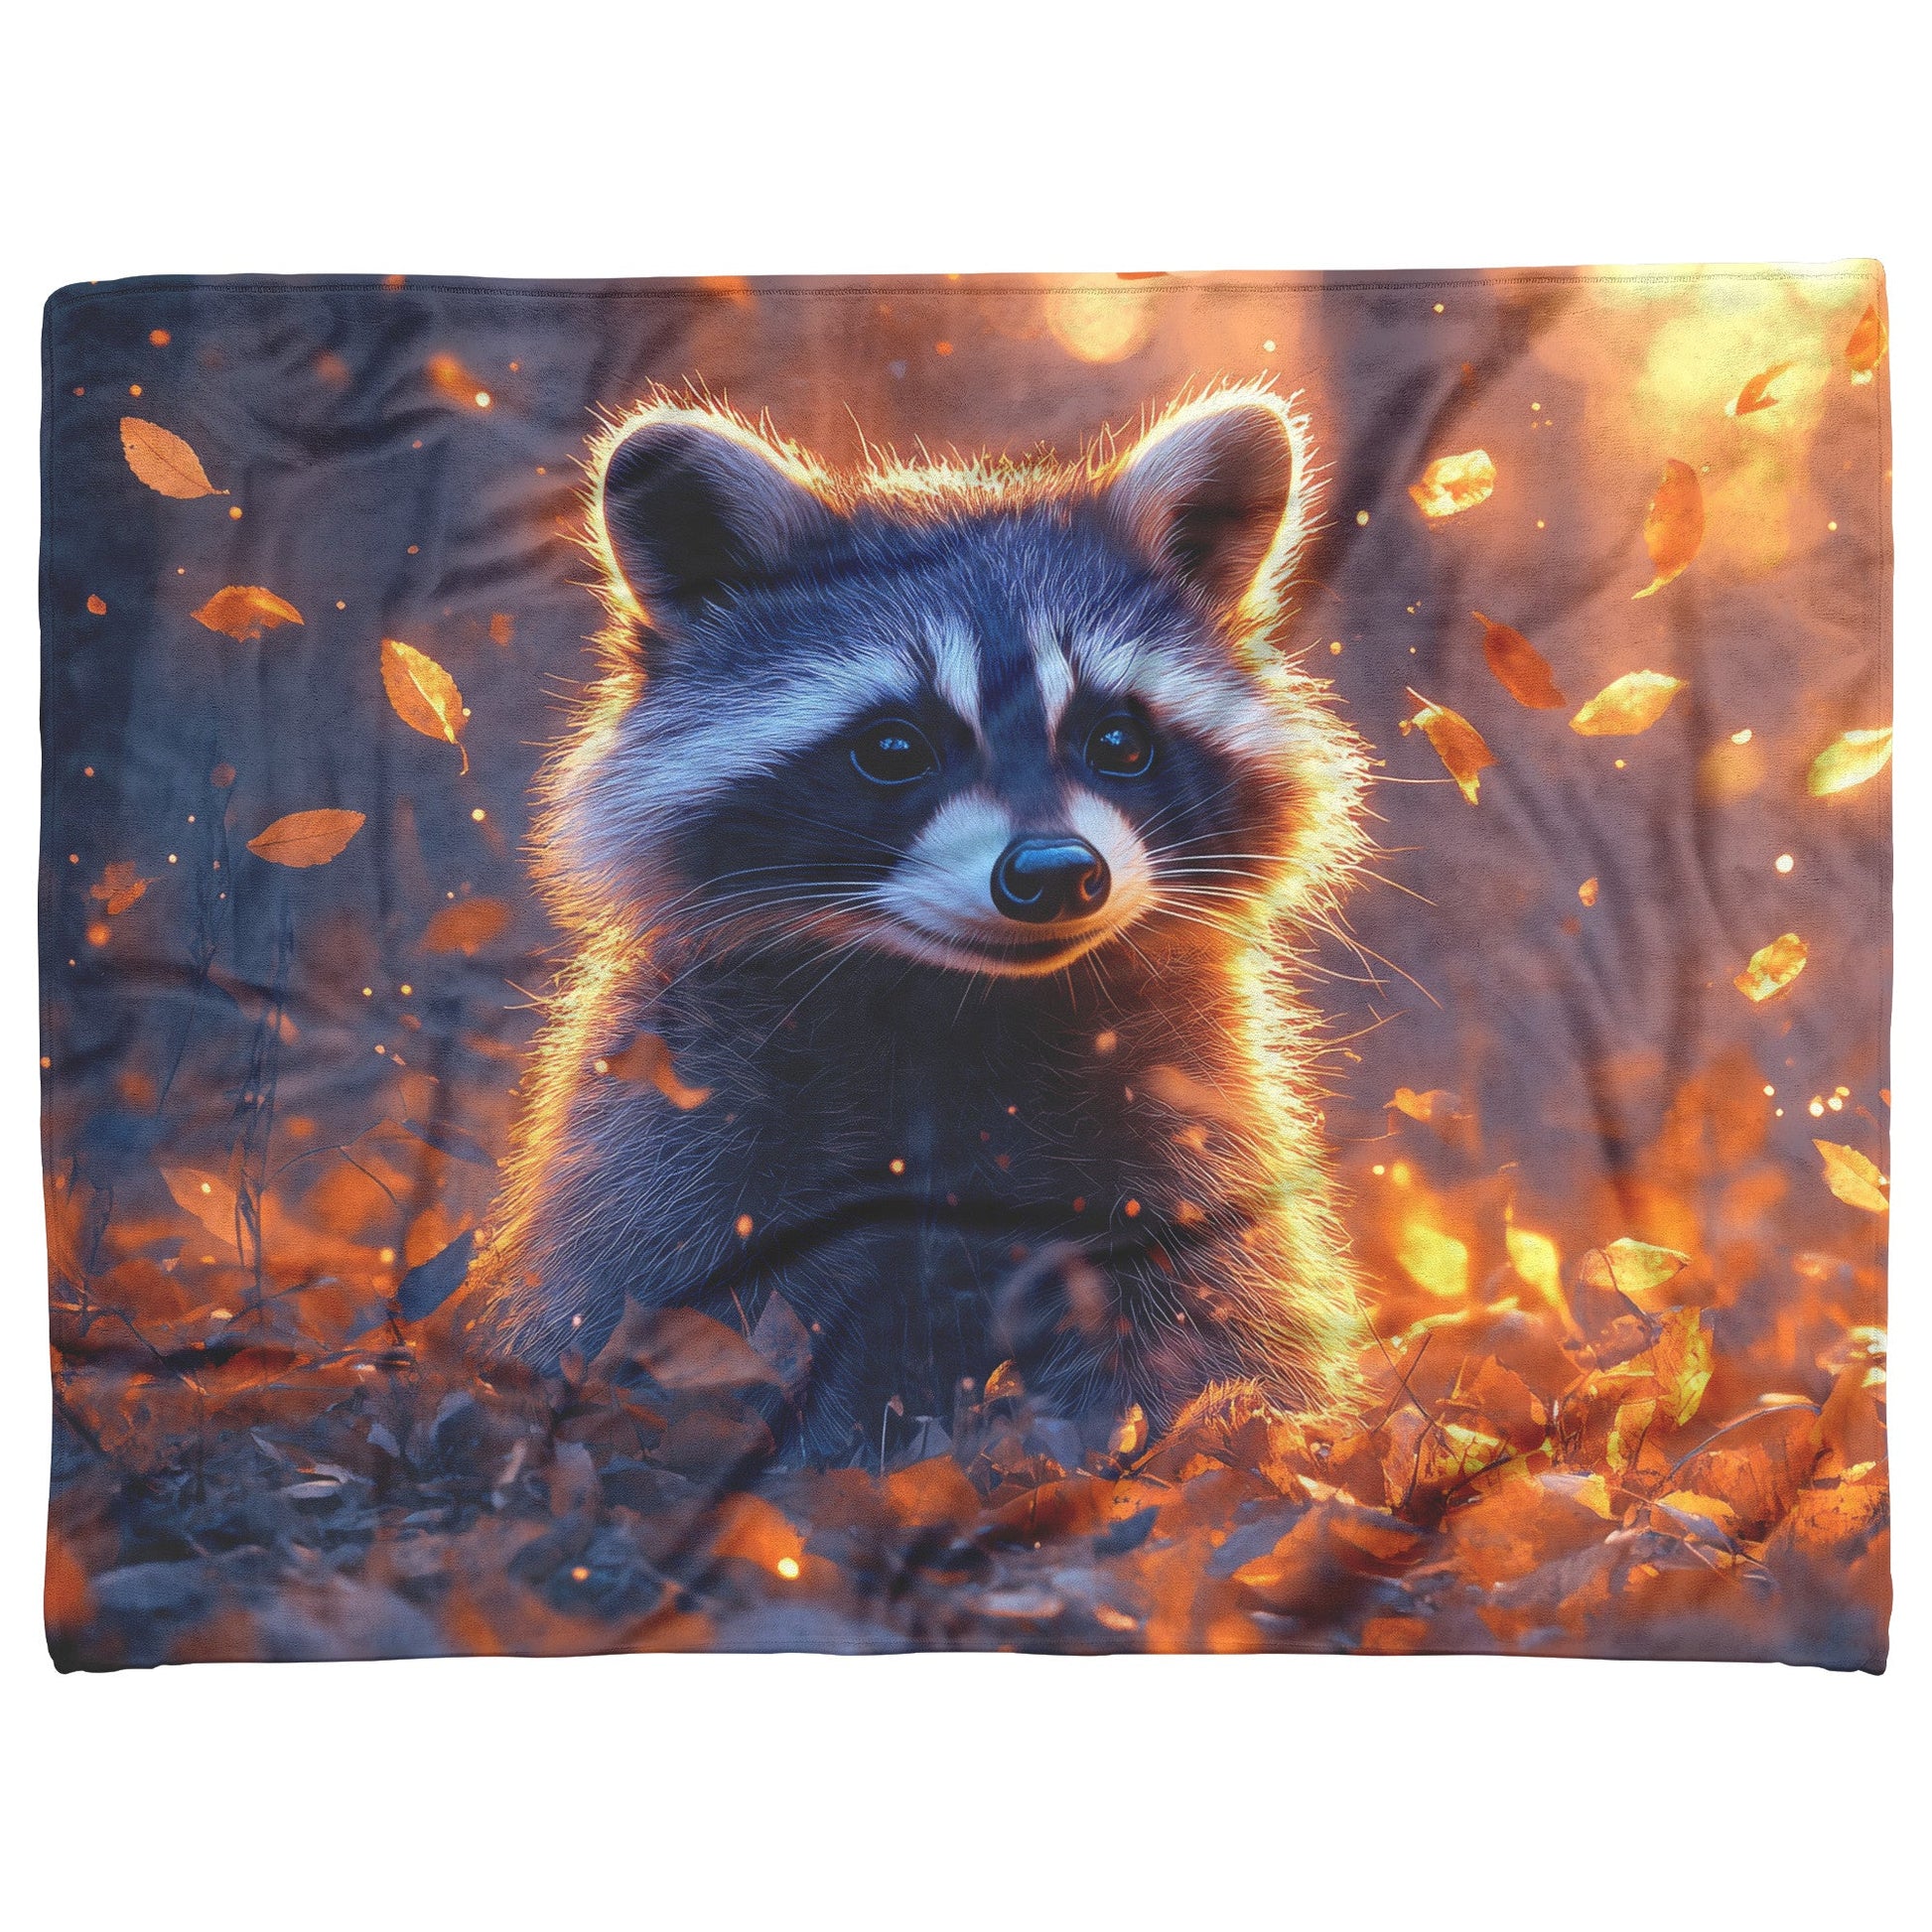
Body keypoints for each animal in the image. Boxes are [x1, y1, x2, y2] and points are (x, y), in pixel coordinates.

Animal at [473, 382, 1373, 1460]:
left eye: (1116, 739)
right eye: (894, 747)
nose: (1054, 873)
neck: (960, 998)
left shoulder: (1185, 1103)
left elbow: (1216, 1306)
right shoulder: (681, 1101)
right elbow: (654, 1288)